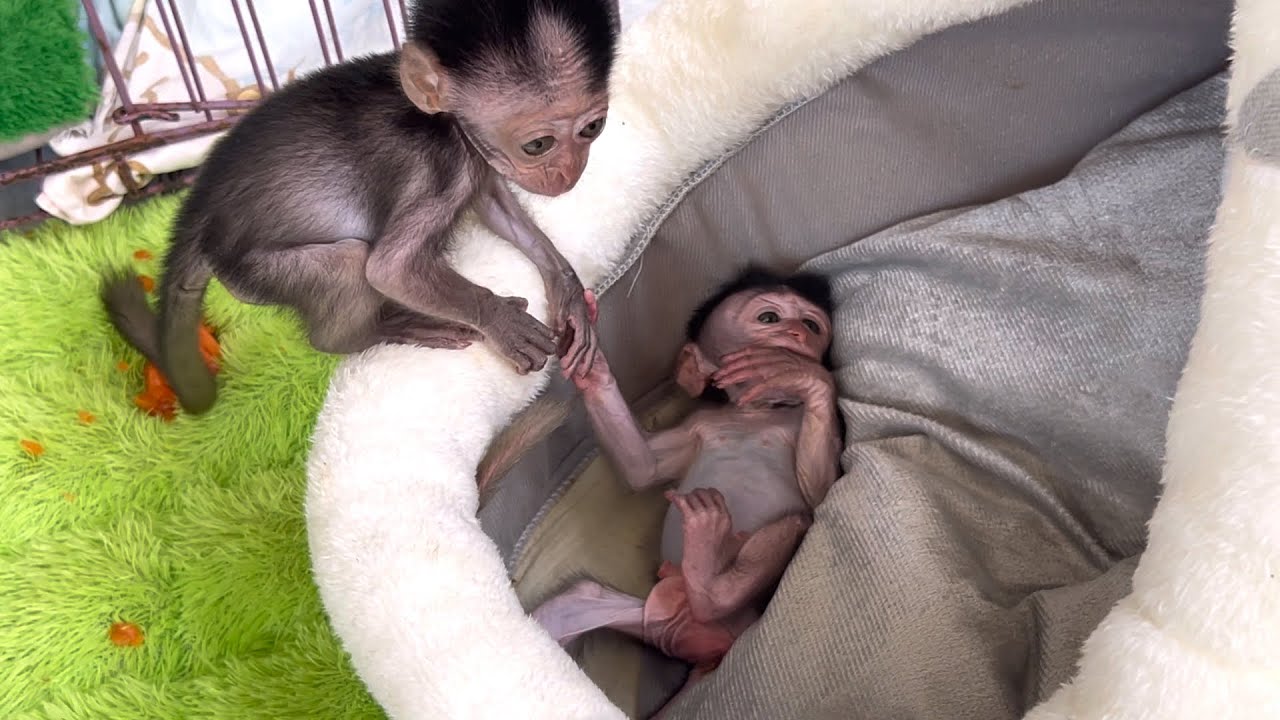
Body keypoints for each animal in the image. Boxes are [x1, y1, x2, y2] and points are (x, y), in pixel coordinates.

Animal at [101, 0, 620, 414]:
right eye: (538, 144)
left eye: (592, 128)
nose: (568, 171)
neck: (447, 125)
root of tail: (202, 210)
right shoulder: (441, 168)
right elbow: (390, 269)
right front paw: (499, 320)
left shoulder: (476, 163)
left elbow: (498, 210)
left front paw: (569, 294)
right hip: (250, 272)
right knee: (350, 267)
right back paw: (388, 328)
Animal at [522, 267, 844, 716]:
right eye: (769, 318)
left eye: (812, 326)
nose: (797, 333)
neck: (756, 410)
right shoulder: (699, 425)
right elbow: (644, 469)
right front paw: (593, 366)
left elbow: (821, 493)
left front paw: (806, 376)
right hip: (647, 617)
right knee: (575, 602)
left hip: (731, 613)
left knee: (794, 523)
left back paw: (708, 565)